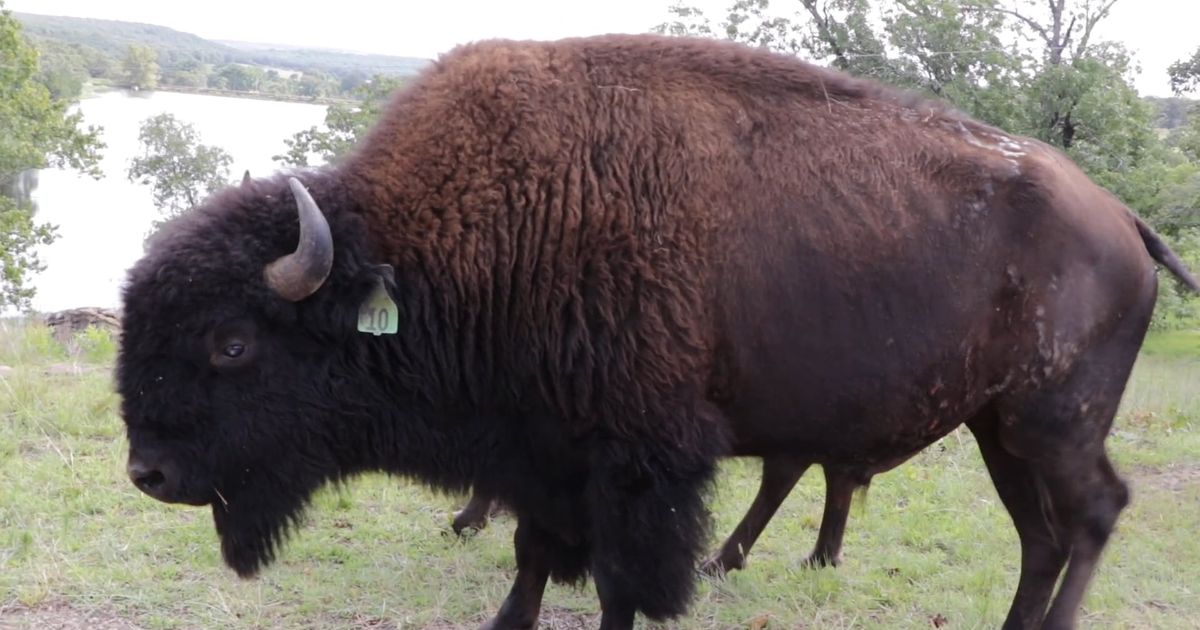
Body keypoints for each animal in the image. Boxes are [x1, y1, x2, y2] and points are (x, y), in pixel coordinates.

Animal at [117, 34, 1197, 629]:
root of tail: (1122, 221)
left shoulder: (638, 462)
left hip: (1055, 421)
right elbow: (533, 557)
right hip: (1000, 428)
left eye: (231, 343)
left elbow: (622, 583)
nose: (149, 474)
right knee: (1039, 535)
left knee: (1091, 516)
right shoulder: (543, 453)